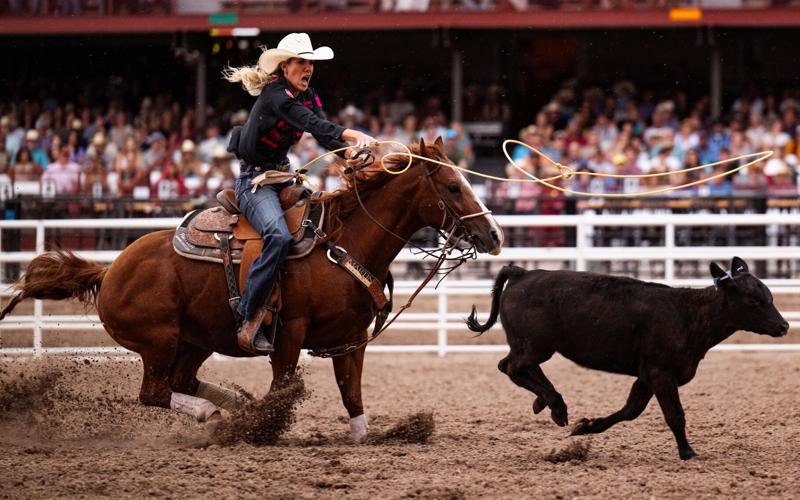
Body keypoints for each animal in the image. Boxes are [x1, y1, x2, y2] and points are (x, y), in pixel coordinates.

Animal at [466, 257, 789, 460]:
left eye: (770, 296)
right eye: (754, 300)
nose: (784, 326)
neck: (688, 315)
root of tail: (523, 273)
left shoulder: (646, 377)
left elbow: (630, 410)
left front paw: (586, 426)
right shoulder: (661, 373)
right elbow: (675, 415)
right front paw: (688, 452)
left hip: (532, 346)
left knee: (516, 368)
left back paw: (547, 403)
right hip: (535, 345)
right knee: (511, 367)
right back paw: (555, 405)